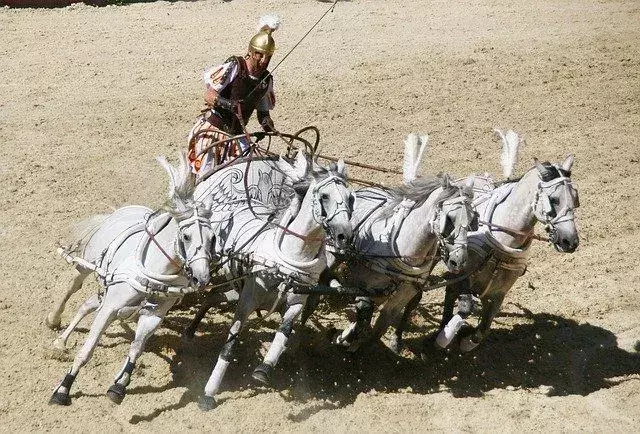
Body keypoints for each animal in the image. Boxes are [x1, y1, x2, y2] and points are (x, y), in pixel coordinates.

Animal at [47, 153, 216, 406]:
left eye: (213, 237)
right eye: (186, 236)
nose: (202, 277)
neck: (155, 269)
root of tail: (118, 212)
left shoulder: (154, 314)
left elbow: (136, 348)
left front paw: (119, 387)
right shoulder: (110, 308)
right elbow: (87, 350)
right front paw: (63, 389)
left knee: (88, 303)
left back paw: (61, 341)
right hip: (87, 266)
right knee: (73, 287)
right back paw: (54, 322)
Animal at [196, 152, 356, 410]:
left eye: (351, 198)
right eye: (324, 196)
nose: (345, 236)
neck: (288, 261)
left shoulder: (297, 302)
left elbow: (284, 331)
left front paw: (264, 368)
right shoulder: (247, 301)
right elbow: (230, 344)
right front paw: (209, 393)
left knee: (213, 296)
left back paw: (190, 330)